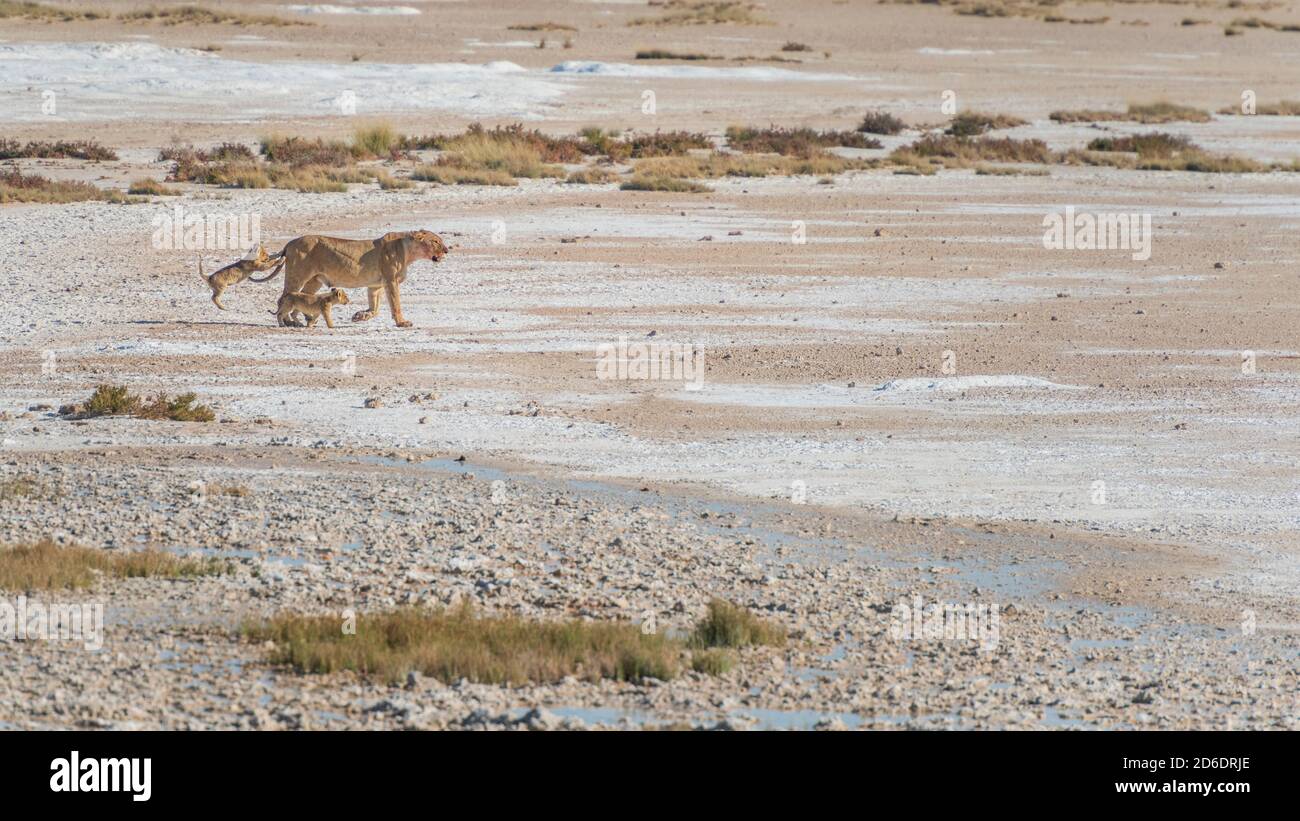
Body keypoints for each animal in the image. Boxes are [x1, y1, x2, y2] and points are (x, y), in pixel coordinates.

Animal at [252, 230, 447, 328]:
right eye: (435, 241)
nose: (446, 250)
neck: (409, 252)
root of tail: (289, 243)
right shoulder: (391, 281)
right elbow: (395, 303)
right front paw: (402, 322)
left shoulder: (375, 285)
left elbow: (375, 307)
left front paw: (360, 316)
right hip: (297, 275)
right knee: (283, 298)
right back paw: (289, 321)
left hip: (314, 281)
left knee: (303, 298)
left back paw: (302, 320)